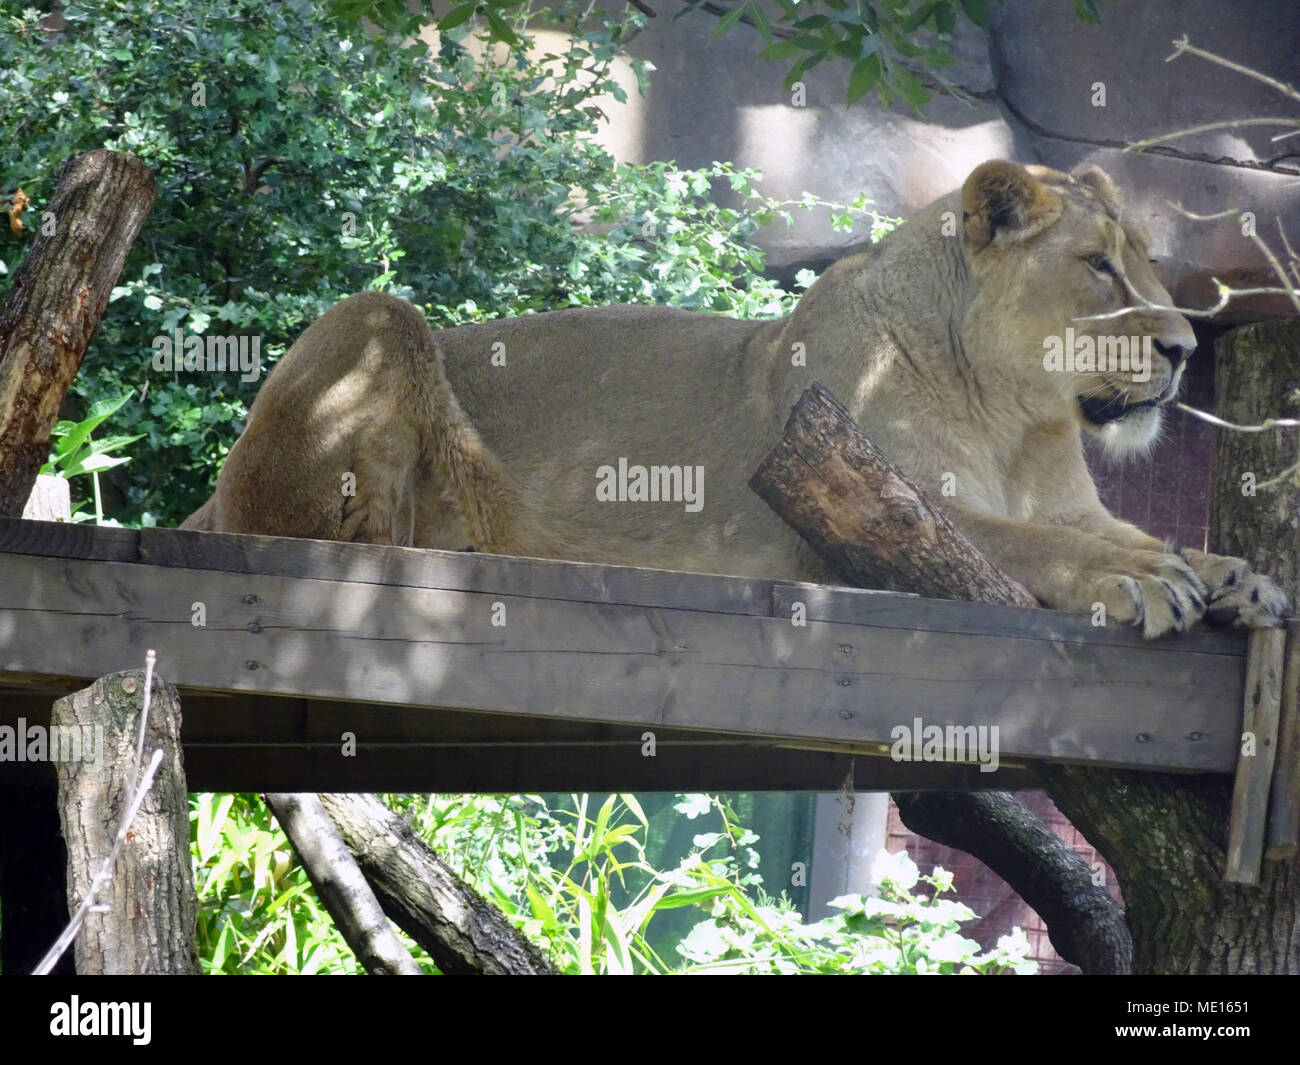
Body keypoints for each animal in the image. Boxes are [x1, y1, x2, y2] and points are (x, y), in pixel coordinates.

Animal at [181, 160, 1287, 638]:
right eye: (1098, 267)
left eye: (1147, 262)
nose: (1184, 348)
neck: (1018, 421)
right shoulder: (858, 521)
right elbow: (1032, 545)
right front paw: (1140, 583)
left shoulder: (1069, 499)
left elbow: (1119, 531)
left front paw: (1234, 574)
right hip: (377, 319)